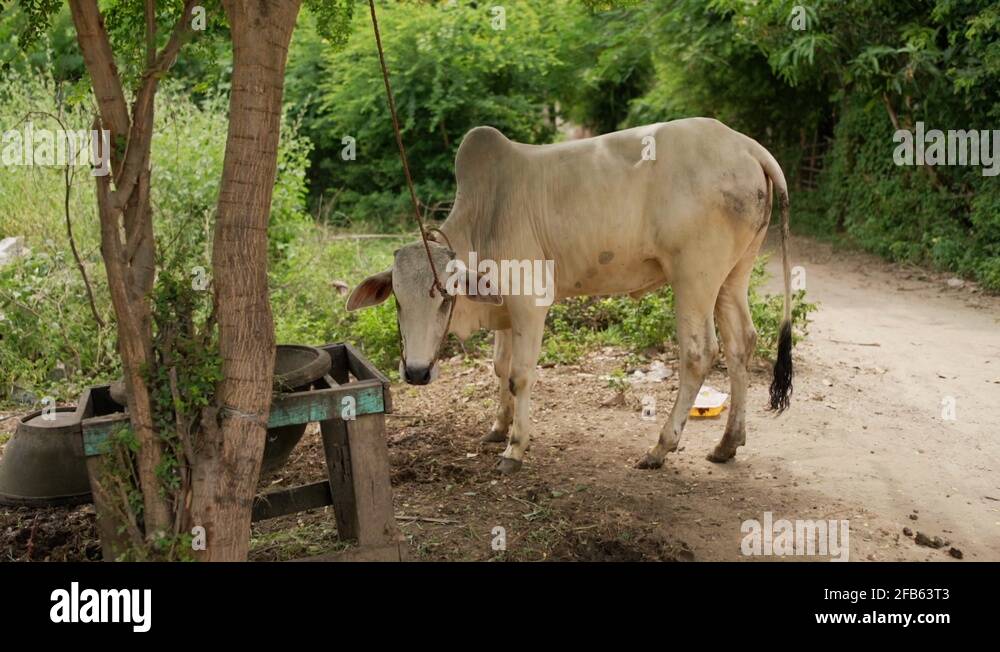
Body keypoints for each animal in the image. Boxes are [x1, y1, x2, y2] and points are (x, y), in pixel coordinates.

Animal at [347, 118, 793, 475]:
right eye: (398, 300)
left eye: (445, 296)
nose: (416, 372)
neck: (485, 218)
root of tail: (745, 145)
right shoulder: (504, 310)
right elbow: (499, 367)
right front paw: (498, 428)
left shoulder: (530, 302)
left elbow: (519, 375)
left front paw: (515, 449)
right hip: (732, 275)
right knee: (741, 343)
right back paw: (727, 444)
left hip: (694, 278)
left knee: (700, 353)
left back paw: (660, 447)